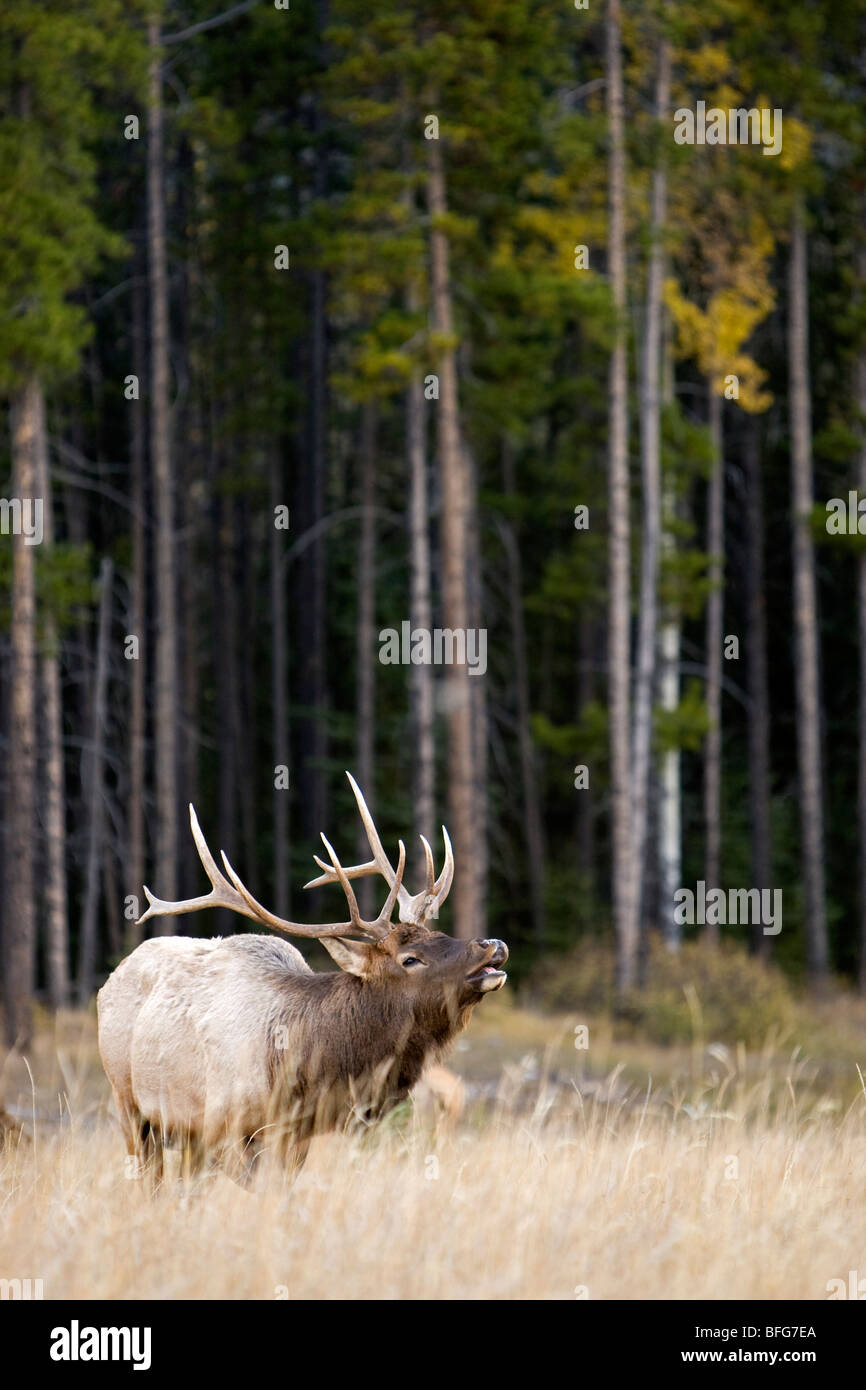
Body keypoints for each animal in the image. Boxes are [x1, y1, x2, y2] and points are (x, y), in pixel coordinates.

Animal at [97, 773, 508, 1185]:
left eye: (439, 934)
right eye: (410, 959)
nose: (493, 944)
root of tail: (111, 980)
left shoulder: (295, 1136)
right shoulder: (223, 1126)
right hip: (129, 1105)